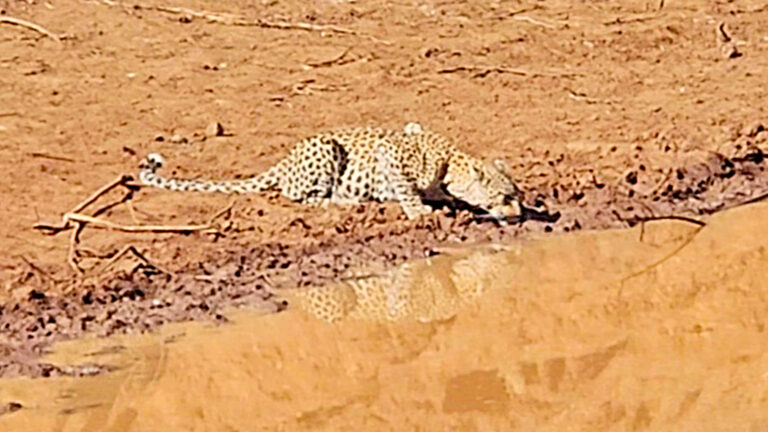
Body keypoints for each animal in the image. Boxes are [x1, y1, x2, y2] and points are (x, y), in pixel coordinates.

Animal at [138, 122, 522, 223]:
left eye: (517, 195)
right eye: (506, 196)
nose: (519, 214)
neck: (452, 162)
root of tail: (285, 160)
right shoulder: (390, 152)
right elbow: (406, 187)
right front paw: (420, 212)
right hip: (325, 146)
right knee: (300, 196)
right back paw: (345, 203)